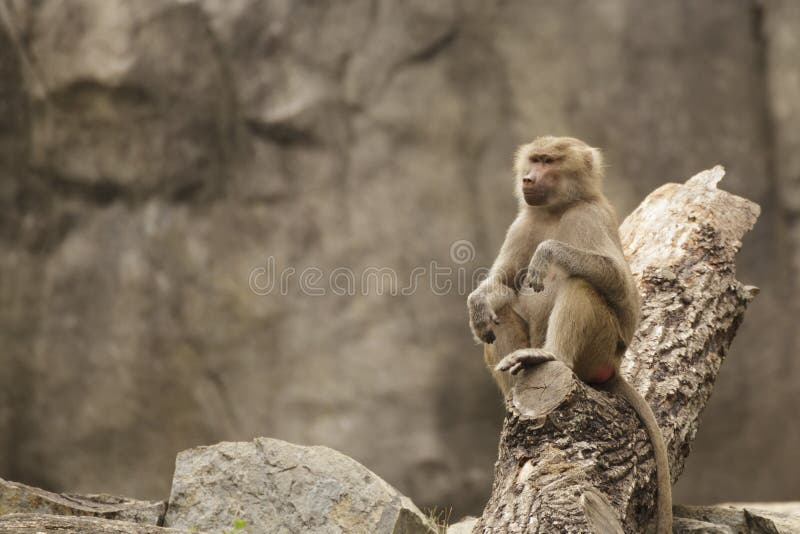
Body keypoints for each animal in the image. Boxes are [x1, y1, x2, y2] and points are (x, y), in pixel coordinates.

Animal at [467, 136, 672, 534]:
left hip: (602, 349)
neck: (556, 209)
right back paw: (515, 384)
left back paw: (550, 357)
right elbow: (502, 287)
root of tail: (614, 366)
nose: (528, 178)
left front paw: (547, 253)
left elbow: (621, 288)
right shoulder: (522, 223)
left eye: (548, 162)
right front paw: (477, 302)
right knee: (500, 314)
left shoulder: (590, 216)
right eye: (533, 160)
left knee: (580, 285)